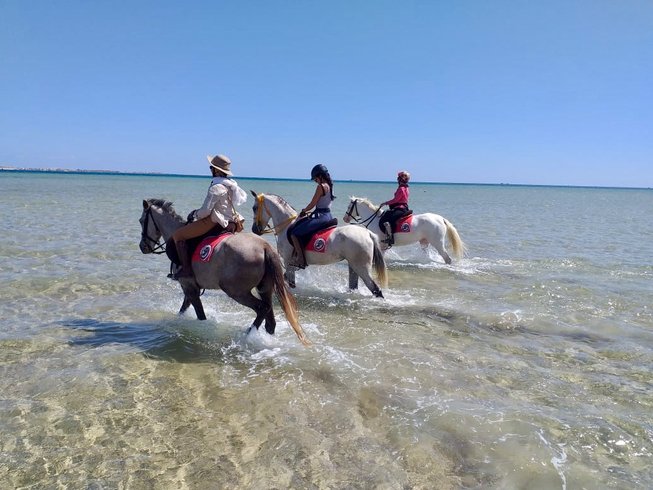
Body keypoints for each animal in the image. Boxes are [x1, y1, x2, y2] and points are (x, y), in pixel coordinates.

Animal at [138, 198, 310, 346]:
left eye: (141, 221)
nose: (142, 246)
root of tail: (264, 246)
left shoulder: (189, 288)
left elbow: (200, 315)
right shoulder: (190, 289)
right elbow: (183, 310)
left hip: (236, 291)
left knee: (262, 309)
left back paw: (248, 334)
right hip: (265, 289)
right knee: (269, 318)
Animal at [250, 192, 387, 297]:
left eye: (254, 208)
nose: (254, 230)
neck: (287, 226)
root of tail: (368, 233)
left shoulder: (288, 262)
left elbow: (290, 282)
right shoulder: (292, 265)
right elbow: (287, 279)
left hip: (361, 267)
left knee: (375, 289)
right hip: (353, 266)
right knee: (354, 285)